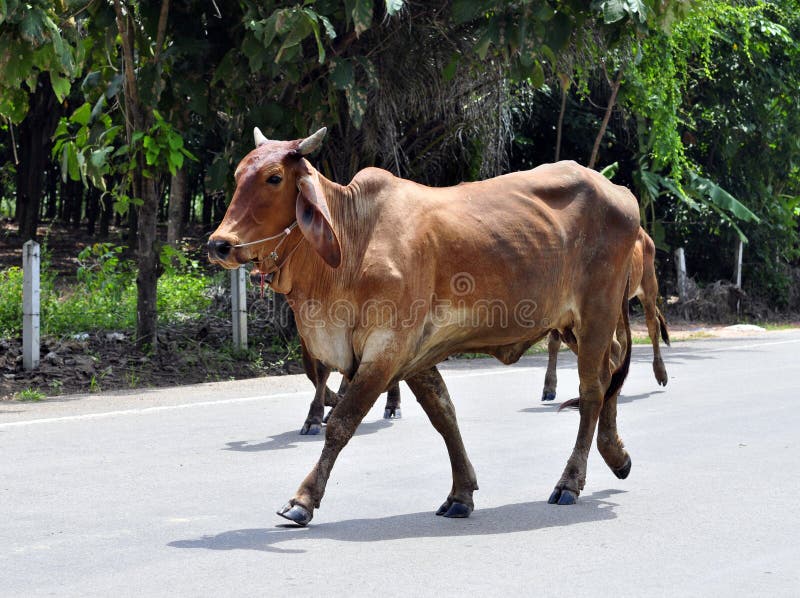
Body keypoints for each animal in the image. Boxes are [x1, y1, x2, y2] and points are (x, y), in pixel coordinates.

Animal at [208, 127, 641, 526]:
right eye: (238, 174)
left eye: (274, 177)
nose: (218, 244)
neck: (354, 241)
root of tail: (619, 191)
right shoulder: (413, 353)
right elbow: (443, 414)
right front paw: (461, 494)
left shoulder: (387, 348)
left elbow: (342, 423)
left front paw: (303, 500)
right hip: (571, 324)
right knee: (609, 374)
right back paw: (616, 454)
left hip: (597, 313)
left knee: (592, 390)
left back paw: (570, 482)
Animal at [541, 227, 670, 401]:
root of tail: (645, 234)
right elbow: (555, 342)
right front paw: (549, 388)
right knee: (623, 336)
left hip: (648, 285)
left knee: (652, 326)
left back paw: (660, 373)